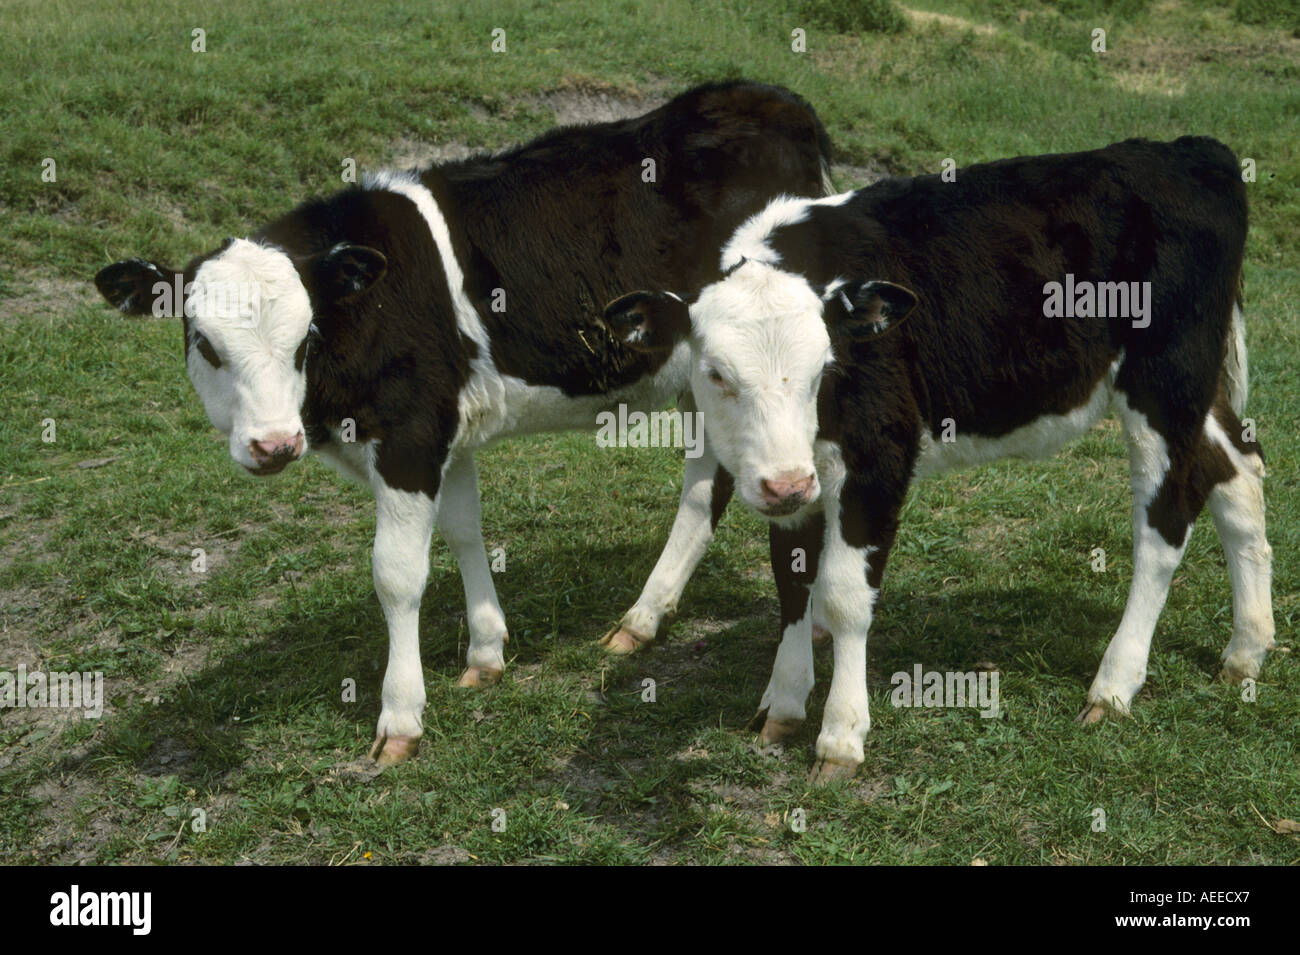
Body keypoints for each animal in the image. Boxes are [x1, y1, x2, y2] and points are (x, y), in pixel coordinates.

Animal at [93, 81, 832, 765]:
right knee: (707, 485)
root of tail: (768, 100)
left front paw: (400, 716)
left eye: (304, 337)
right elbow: (463, 530)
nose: (273, 444)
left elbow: (396, 573)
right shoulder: (446, 433)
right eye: (205, 342)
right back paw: (647, 618)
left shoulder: (410, 434)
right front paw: (484, 651)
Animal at [603, 136, 1275, 781]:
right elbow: (792, 581)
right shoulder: (797, 473)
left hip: (1163, 382)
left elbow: (844, 594)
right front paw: (785, 703)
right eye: (716, 373)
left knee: (1165, 523)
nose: (785, 485)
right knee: (1238, 472)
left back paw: (1114, 685)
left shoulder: (878, 456)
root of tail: (1187, 149)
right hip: (1195, 389)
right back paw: (1246, 650)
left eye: (823, 367)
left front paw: (840, 736)